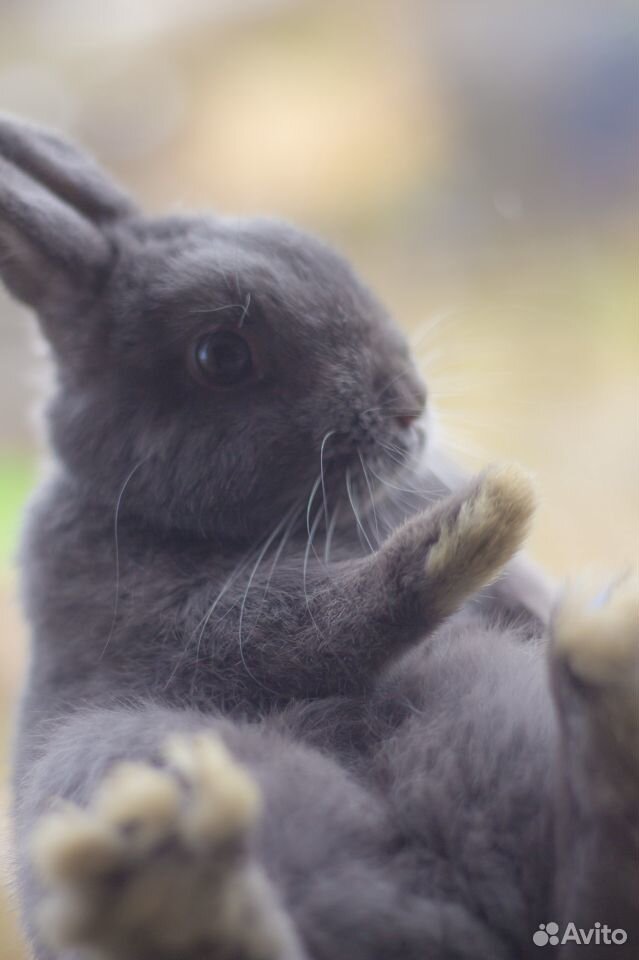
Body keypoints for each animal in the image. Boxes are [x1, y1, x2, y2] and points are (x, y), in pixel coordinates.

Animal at [1, 115, 636, 960]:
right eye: (220, 356)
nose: (410, 405)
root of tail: (466, 926)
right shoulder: (179, 616)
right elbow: (310, 624)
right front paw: (475, 521)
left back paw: (606, 667)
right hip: (108, 759)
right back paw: (162, 886)